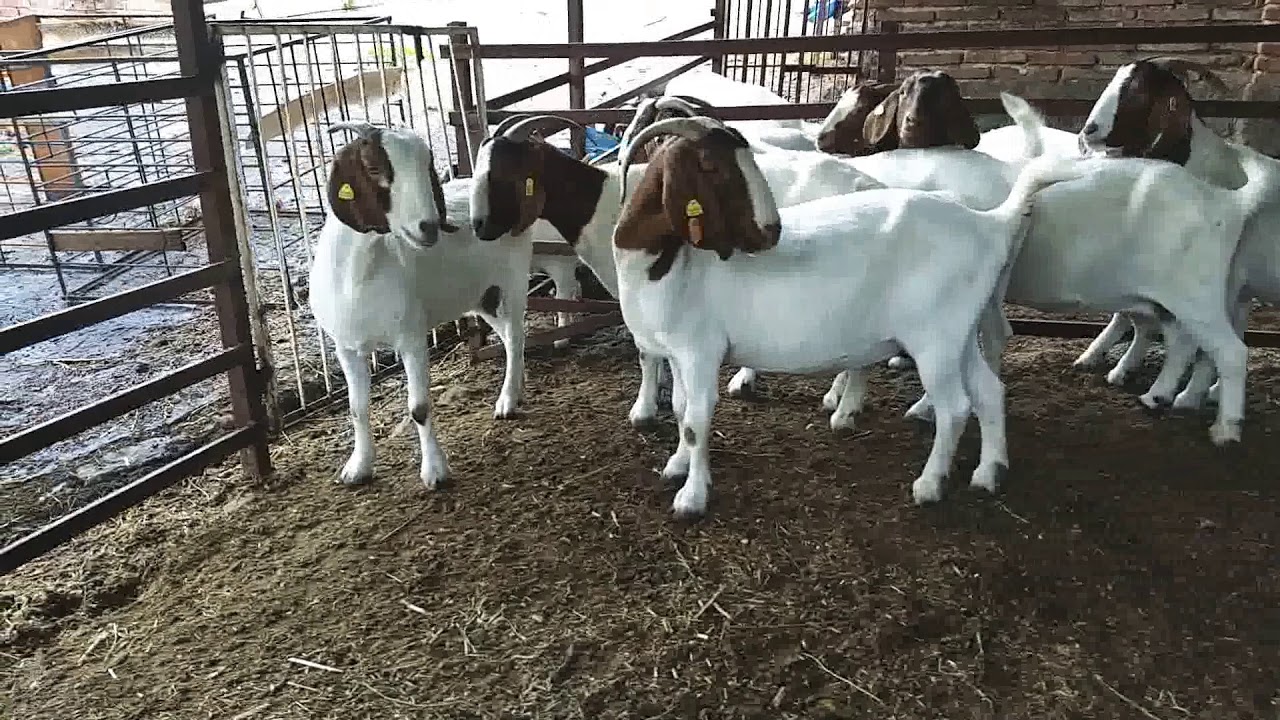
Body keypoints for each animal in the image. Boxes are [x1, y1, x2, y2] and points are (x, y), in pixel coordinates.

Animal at [309, 122, 533, 489]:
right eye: (373, 168)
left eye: (425, 167)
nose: (428, 227)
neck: (358, 275)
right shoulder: (346, 347)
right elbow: (357, 408)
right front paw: (358, 467)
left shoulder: (411, 339)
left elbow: (419, 407)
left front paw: (435, 472)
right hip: (482, 296)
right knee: (508, 336)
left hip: (512, 282)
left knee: (515, 338)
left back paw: (507, 401)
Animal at [468, 113, 885, 429]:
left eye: (505, 172)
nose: (480, 227)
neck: (604, 202)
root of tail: (871, 183)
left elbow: (646, 352)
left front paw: (647, 407)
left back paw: (840, 403)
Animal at [611, 115, 1087, 516]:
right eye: (712, 165)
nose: (771, 231)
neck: (673, 265)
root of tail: (989, 223)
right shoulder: (676, 351)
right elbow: (679, 409)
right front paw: (676, 465)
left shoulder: (701, 350)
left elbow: (695, 420)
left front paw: (691, 497)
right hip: (959, 331)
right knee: (989, 392)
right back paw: (989, 473)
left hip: (933, 337)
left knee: (955, 406)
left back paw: (930, 485)